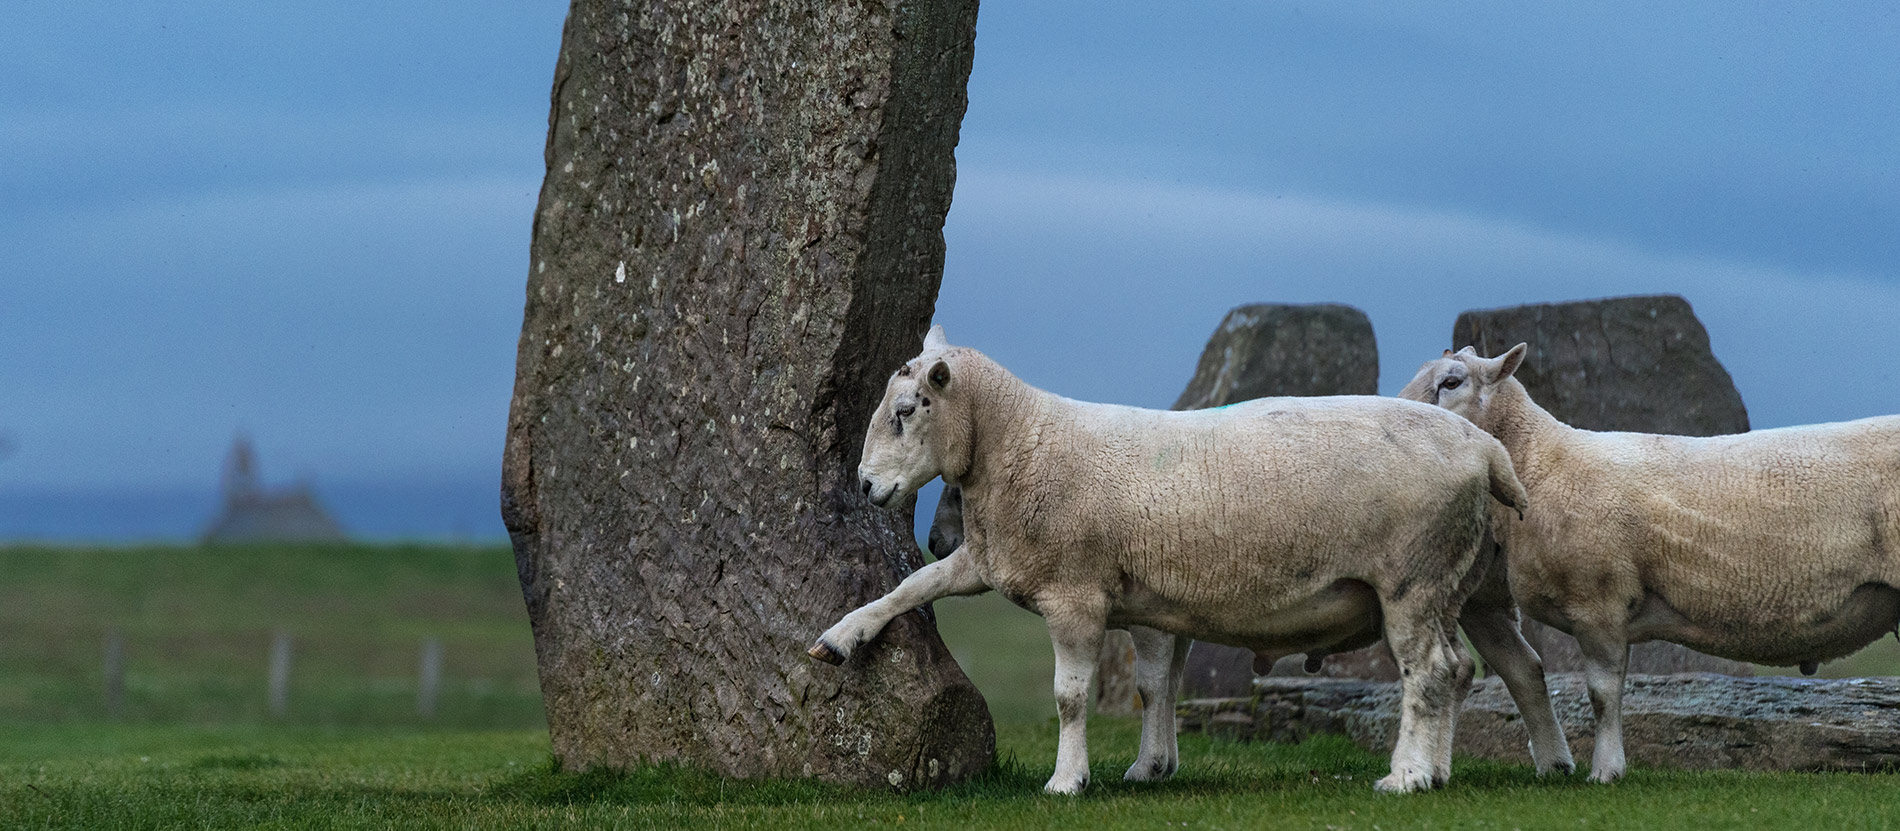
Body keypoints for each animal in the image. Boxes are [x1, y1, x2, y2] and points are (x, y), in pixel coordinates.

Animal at [807, 325, 1547, 794]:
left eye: (906, 410)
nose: (866, 486)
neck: (1021, 443)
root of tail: (1484, 447)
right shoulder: (992, 558)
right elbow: (911, 584)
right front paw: (841, 636)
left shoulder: (1075, 595)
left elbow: (1070, 697)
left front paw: (1067, 778)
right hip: (1444, 582)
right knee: (1455, 669)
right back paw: (1437, 771)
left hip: (1410, 579)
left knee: (1427, 673)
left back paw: (1407, 776)